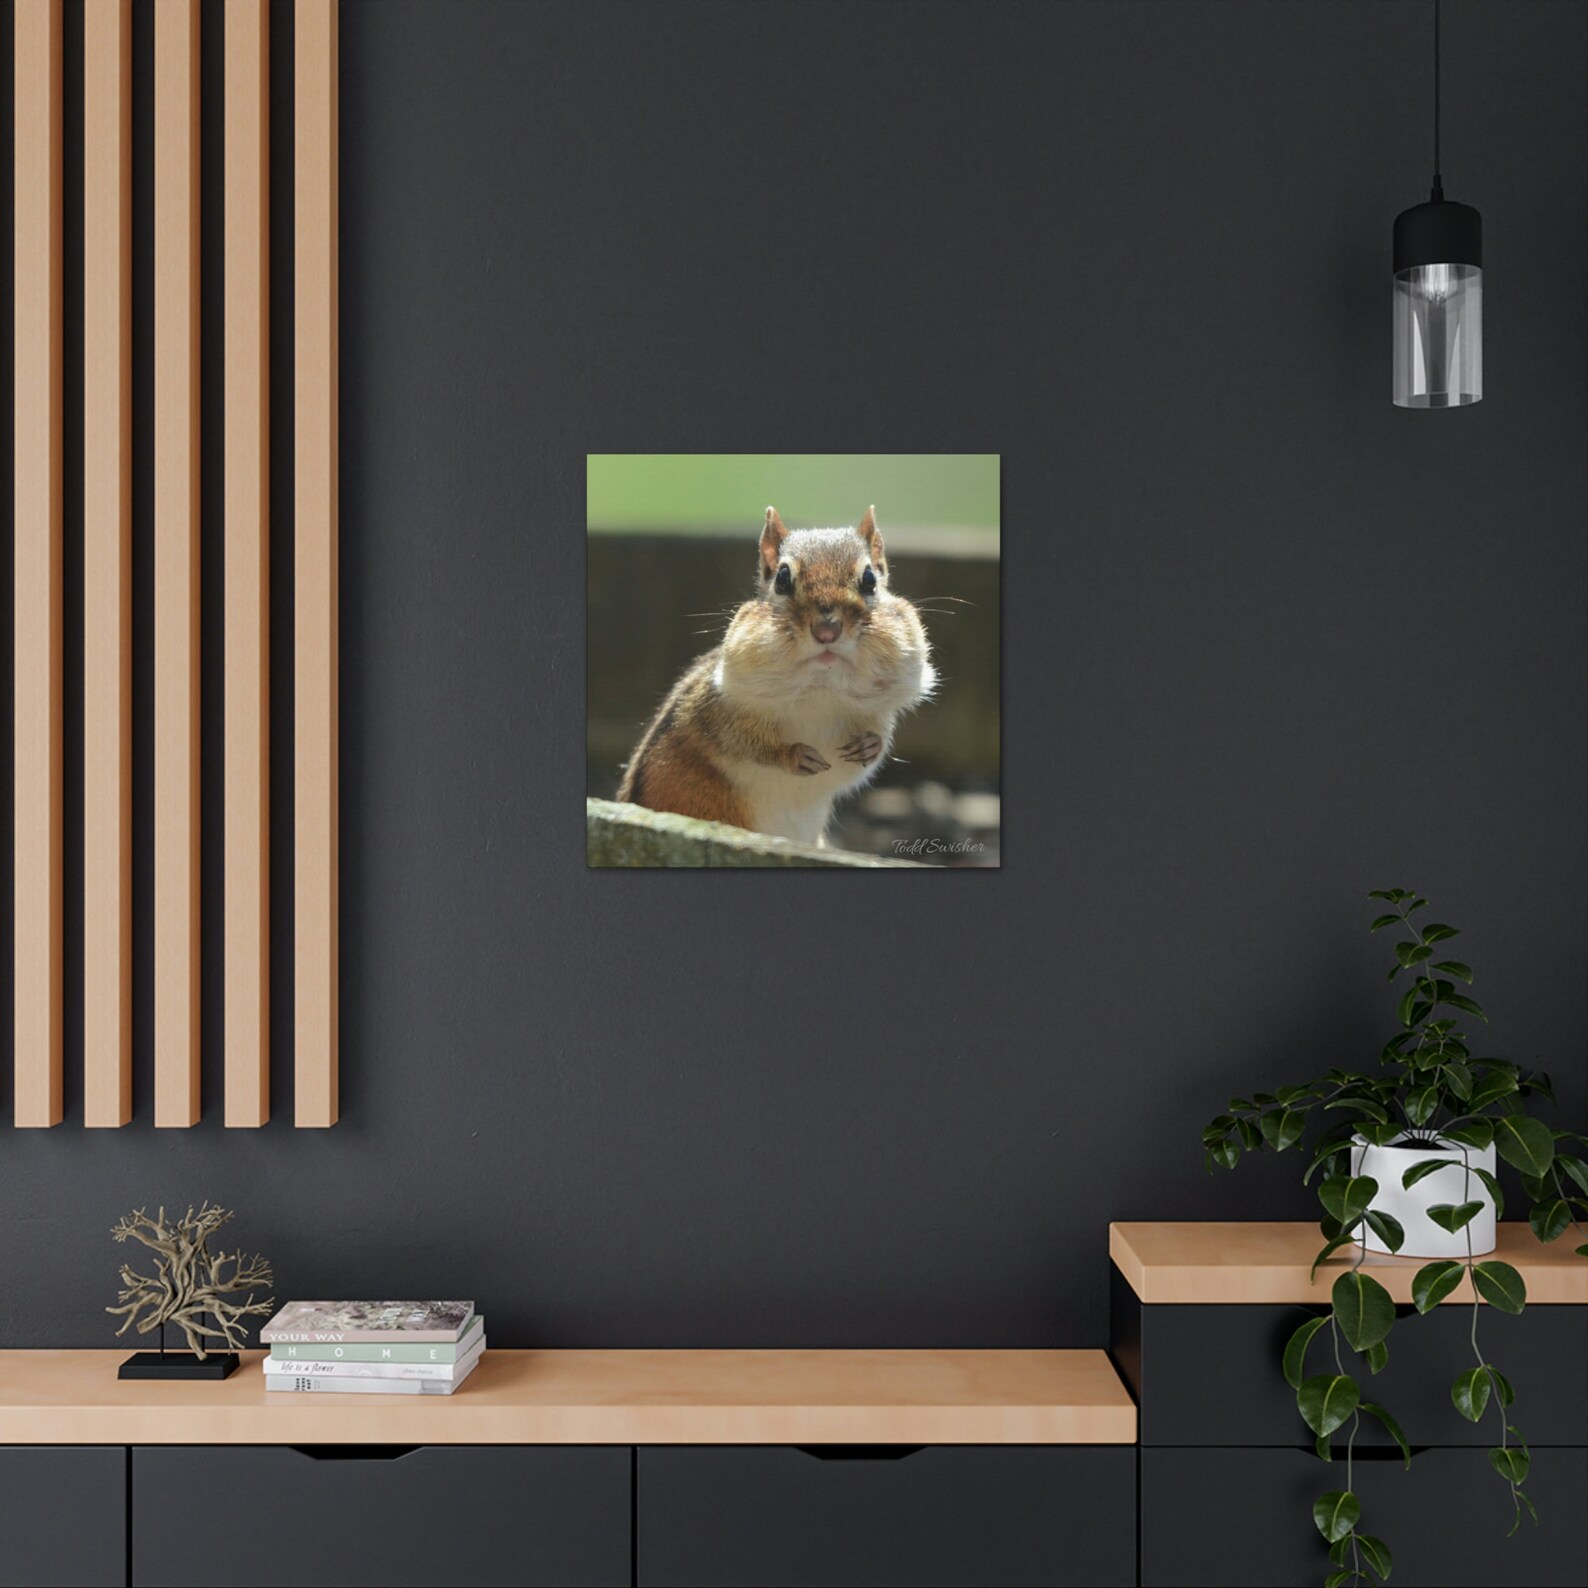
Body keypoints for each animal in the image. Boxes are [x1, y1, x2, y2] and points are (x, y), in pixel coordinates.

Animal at [616, 505, 937, 847]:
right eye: (783, 579)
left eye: (869, 579)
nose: (827, 630)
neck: (822, 690)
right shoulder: (716, 711)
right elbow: (742, 741)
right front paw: (793, 755)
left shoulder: (879, 710)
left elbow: (879, 741)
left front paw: (869, 745)